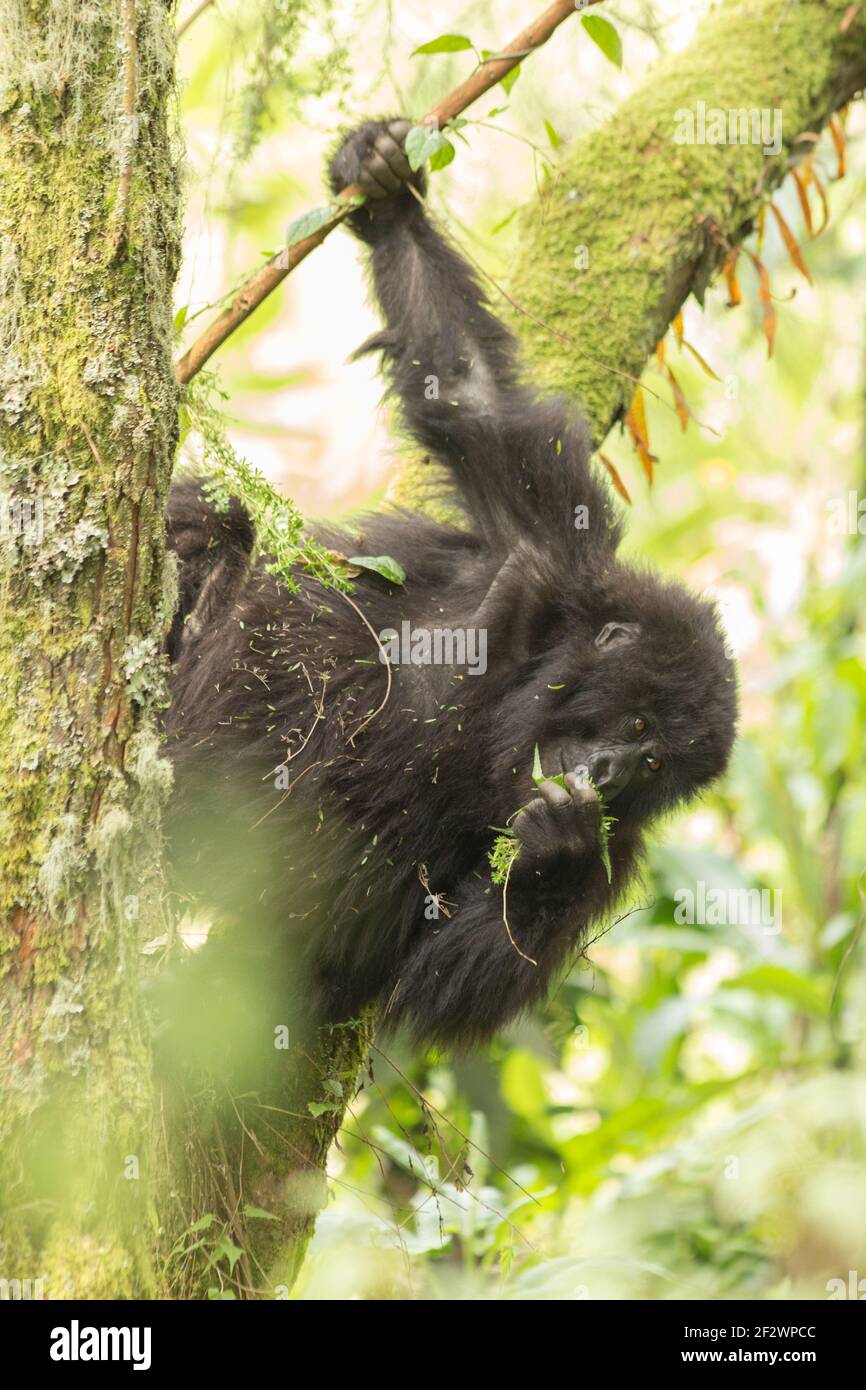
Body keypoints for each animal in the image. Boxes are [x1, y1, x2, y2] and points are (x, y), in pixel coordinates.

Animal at [162, 118, 737, 1059]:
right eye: (641, 726)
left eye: (654, 768)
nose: (610, 773)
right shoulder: (555, 536)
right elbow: (470, 396)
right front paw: (386, 189)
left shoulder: (623, 852)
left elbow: (441, 974)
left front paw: (555, 851)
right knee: (214, 532)